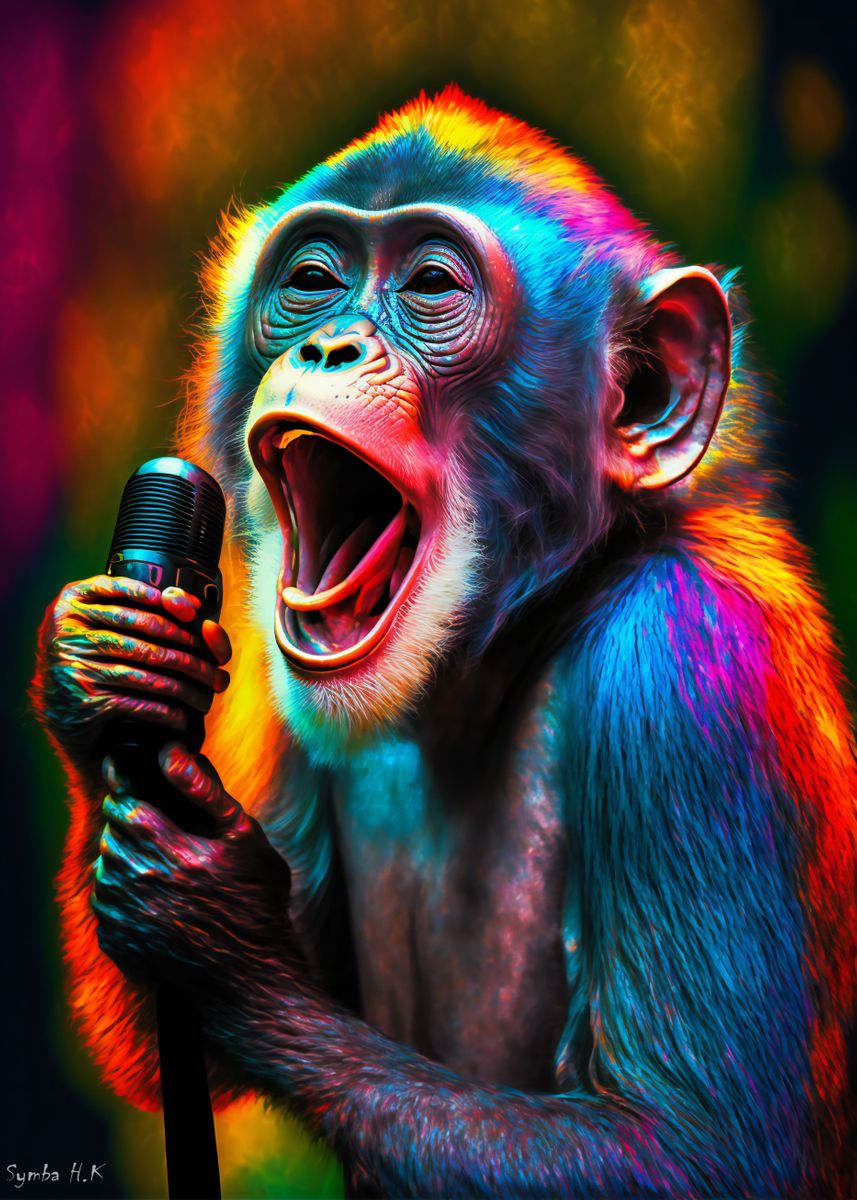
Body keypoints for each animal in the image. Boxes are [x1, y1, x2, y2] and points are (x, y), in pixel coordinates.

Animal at [32, 88, 855, 1198]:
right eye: (311, 282)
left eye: (430, 286)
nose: (327, 346)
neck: (513, 636)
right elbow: (169, 1059)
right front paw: (101, 659)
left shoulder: (694, 670)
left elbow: (693, 1146)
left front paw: (211, 927)